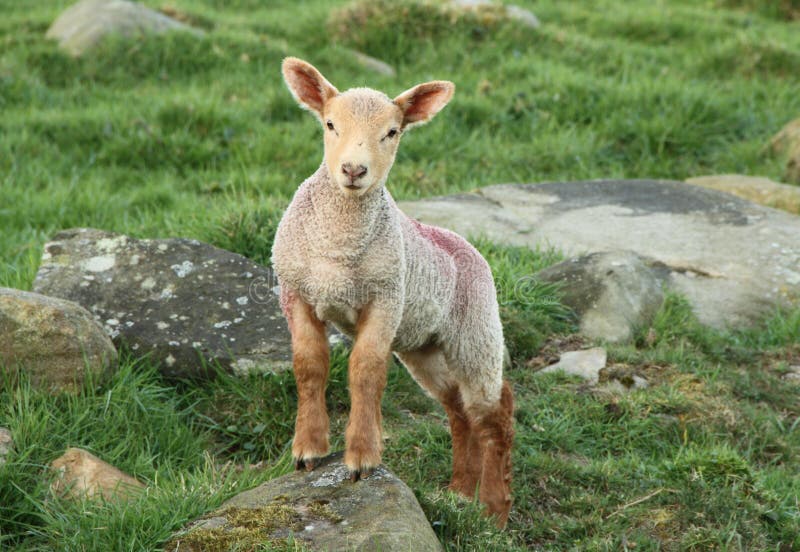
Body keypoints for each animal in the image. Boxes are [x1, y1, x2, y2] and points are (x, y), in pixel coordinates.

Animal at [271, 57, 514, 527]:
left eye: (392, 132)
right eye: (329, 124)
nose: (353, 170)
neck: (339, 242)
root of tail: (469, 247)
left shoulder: (386, 298)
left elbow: (365, 371)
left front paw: (362, 458)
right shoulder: (295, 292)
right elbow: (309, 366)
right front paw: (308, 449)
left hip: (475, 331)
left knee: (494, 412)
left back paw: (494, 508)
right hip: (424, 347)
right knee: (459, 411)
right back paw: (460, 493)